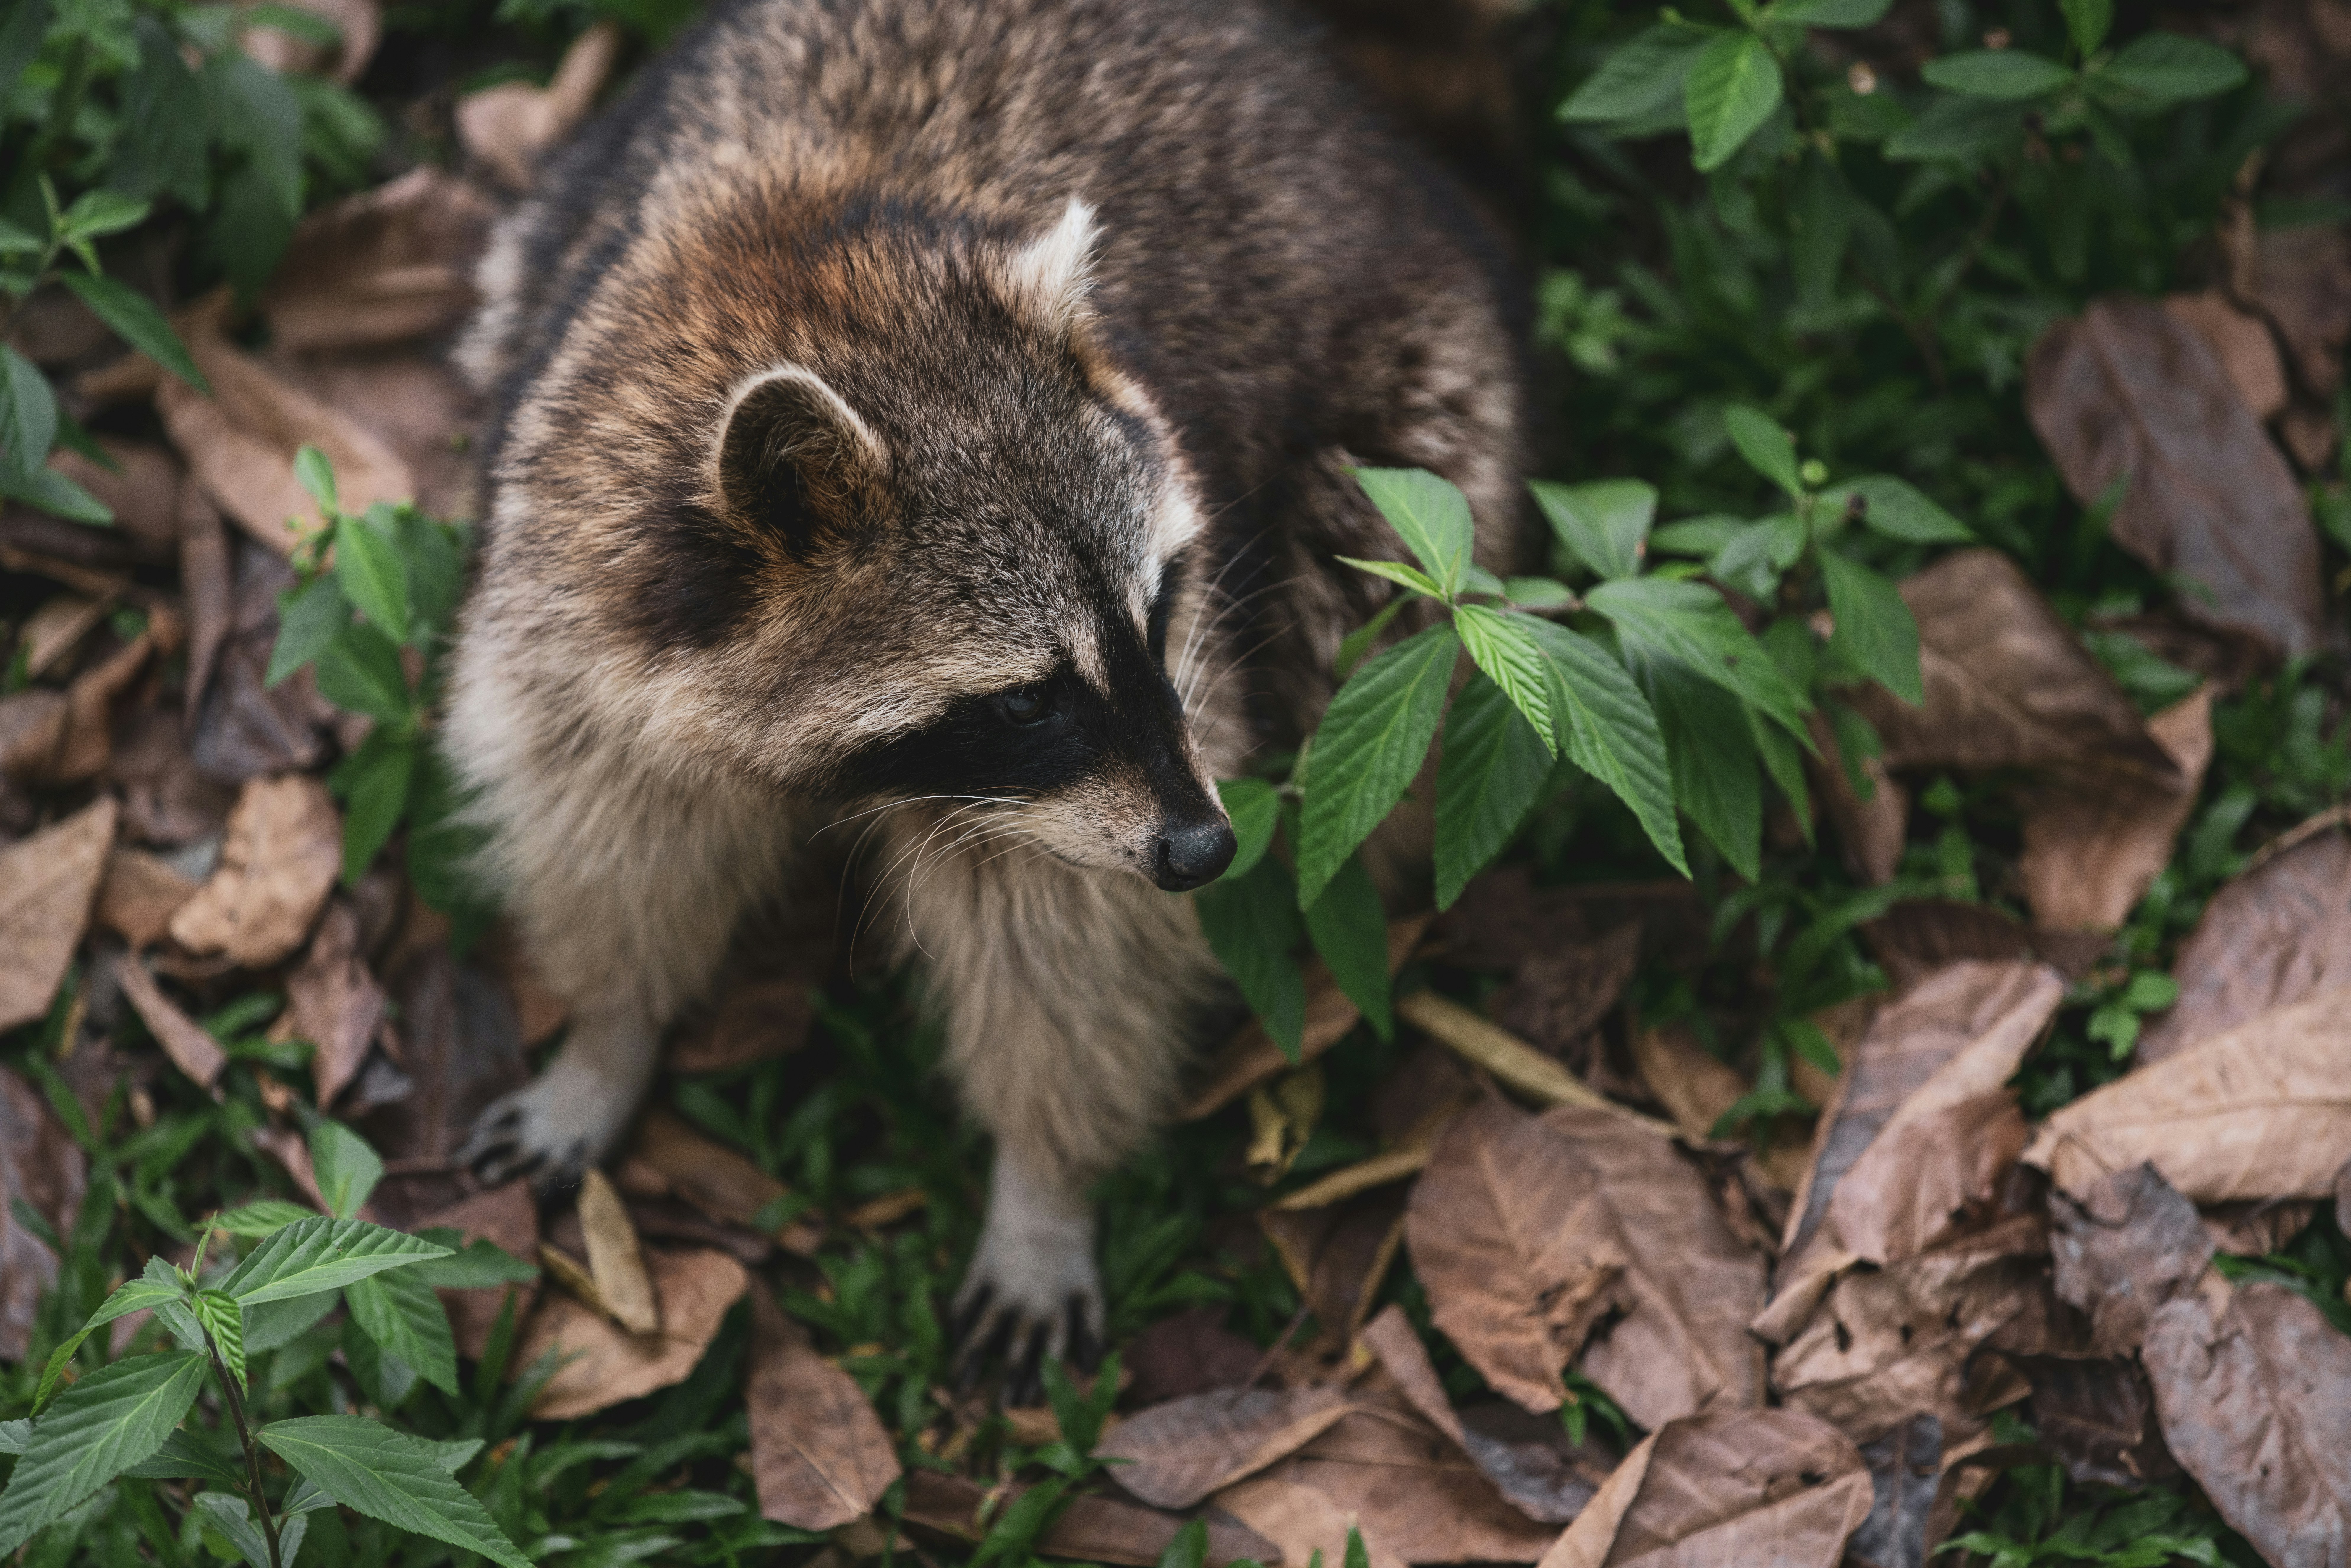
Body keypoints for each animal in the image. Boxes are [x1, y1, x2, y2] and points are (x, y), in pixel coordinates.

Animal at [446, 0, 1526, 1394]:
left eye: (1160, 609)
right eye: (1023, 702)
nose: (1206, 850)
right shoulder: (575, 600)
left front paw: (1041, 1186)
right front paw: (607, 1034)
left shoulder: (1132, 754)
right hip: (547, 237)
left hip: (1418, 419)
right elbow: (612, 838)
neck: (805, 281)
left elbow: (1072, 957)